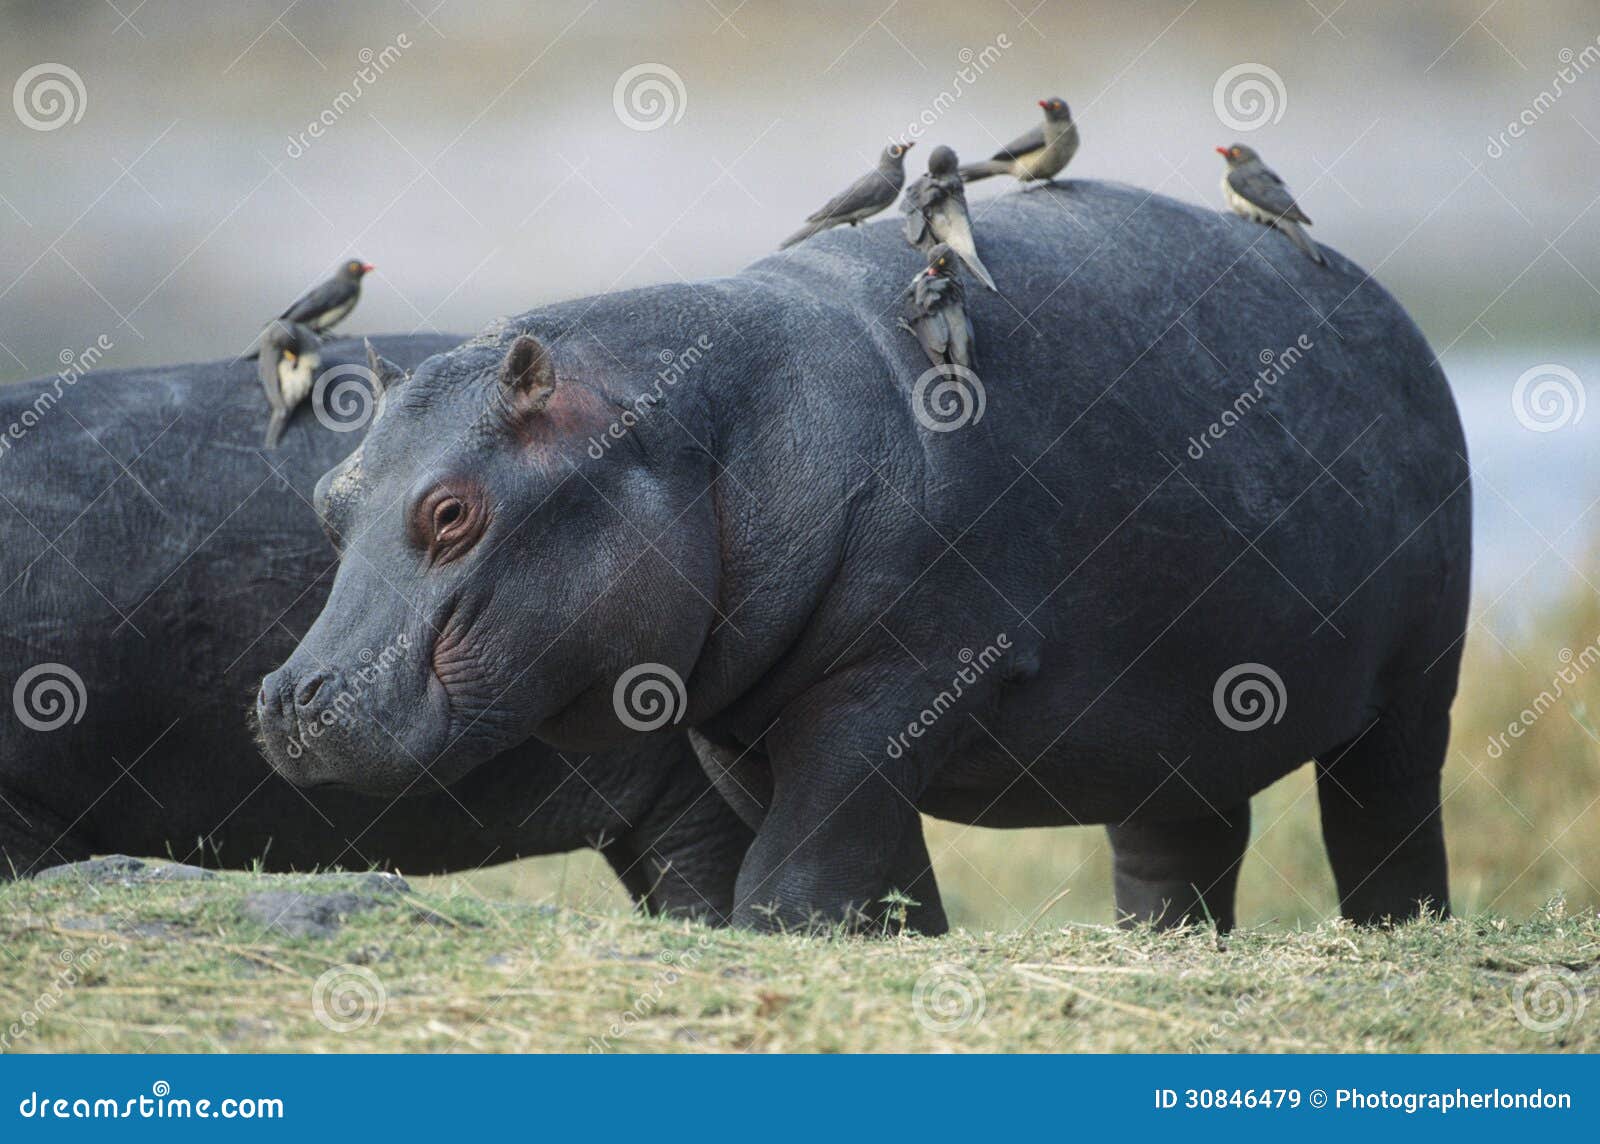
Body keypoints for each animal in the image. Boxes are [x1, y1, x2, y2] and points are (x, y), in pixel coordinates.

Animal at [257, 181, 1471, 935]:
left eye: (452, 512)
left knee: (1388, 819)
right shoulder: (739, 726)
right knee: (1179, 850)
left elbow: (797, 868)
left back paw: (1402, 927)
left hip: (1417, 682)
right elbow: (881, 877)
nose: (288, 697)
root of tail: (1394, 311)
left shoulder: (894, 683)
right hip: (1179, 723)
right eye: (327, 501)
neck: (702, 432)